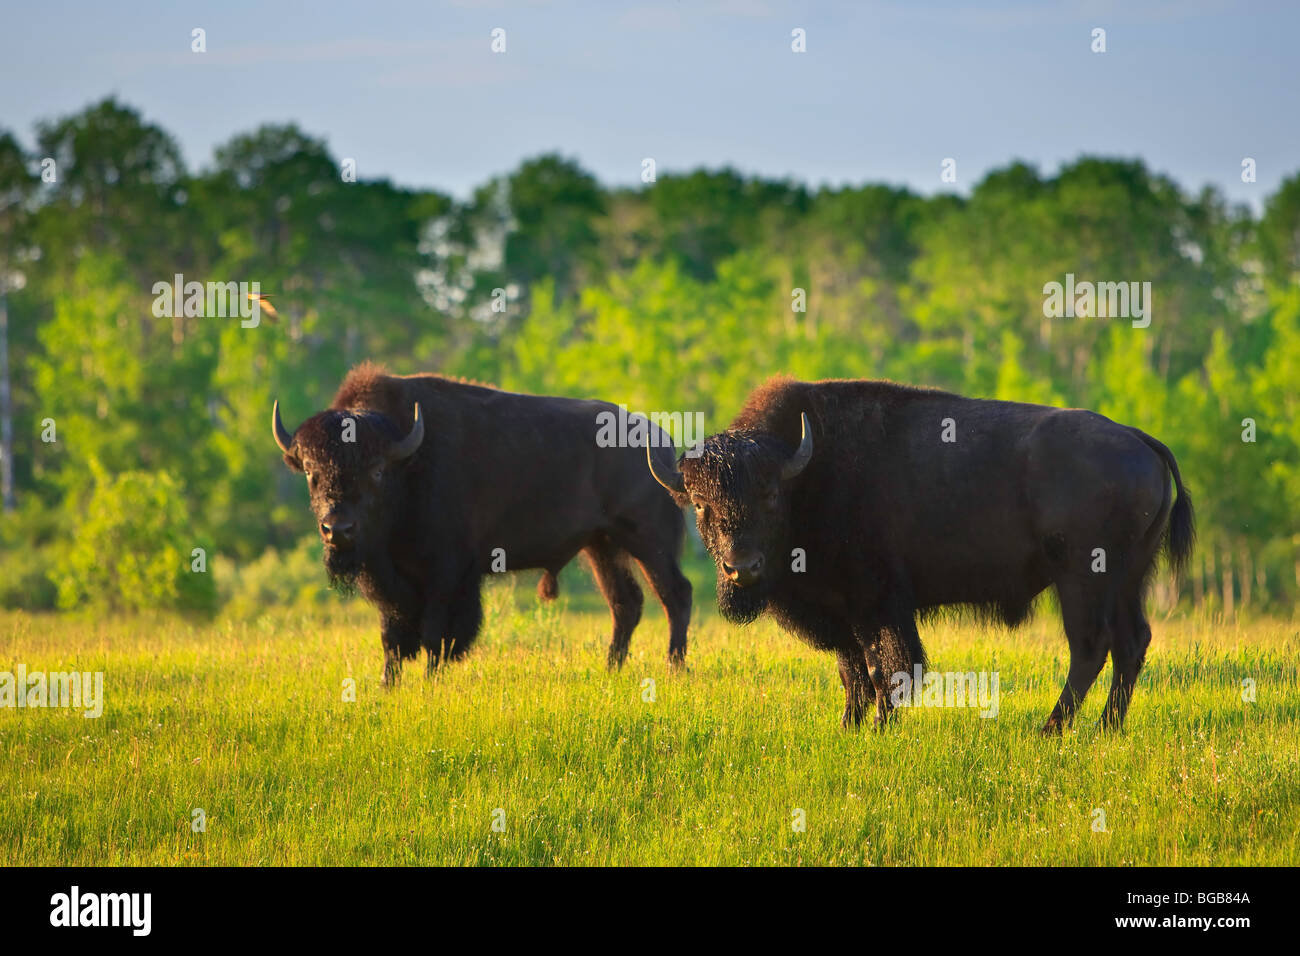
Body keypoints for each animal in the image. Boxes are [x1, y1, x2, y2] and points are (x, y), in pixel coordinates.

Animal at [274, 363, 692, 683]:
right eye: (310, 471)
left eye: (376, 471)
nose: (338, 529)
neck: (408, 462)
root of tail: (663, 441)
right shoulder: (387, 581)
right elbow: (392, 638)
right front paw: (386, 686)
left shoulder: (446, 575)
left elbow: (436, 636)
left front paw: (429, 684)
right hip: (601, 546)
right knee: (626, 604)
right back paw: (611, 670)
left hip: (647, 541)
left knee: (675, 594)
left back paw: (674, 668)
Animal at [648, 376, 1193, 733]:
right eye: (700, 504)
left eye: (769, 496)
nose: (741, 569)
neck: (805, 471)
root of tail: (1139, 439)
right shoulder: (840, 611)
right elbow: (852, 669)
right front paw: (848, 726)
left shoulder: (877, 603)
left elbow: (887, 666)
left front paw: (878, 727)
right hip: (1129, 579)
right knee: (1131, 643)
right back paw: (1106, 729)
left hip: (1083, 577)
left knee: (1090, 646)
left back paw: (1050, 730)